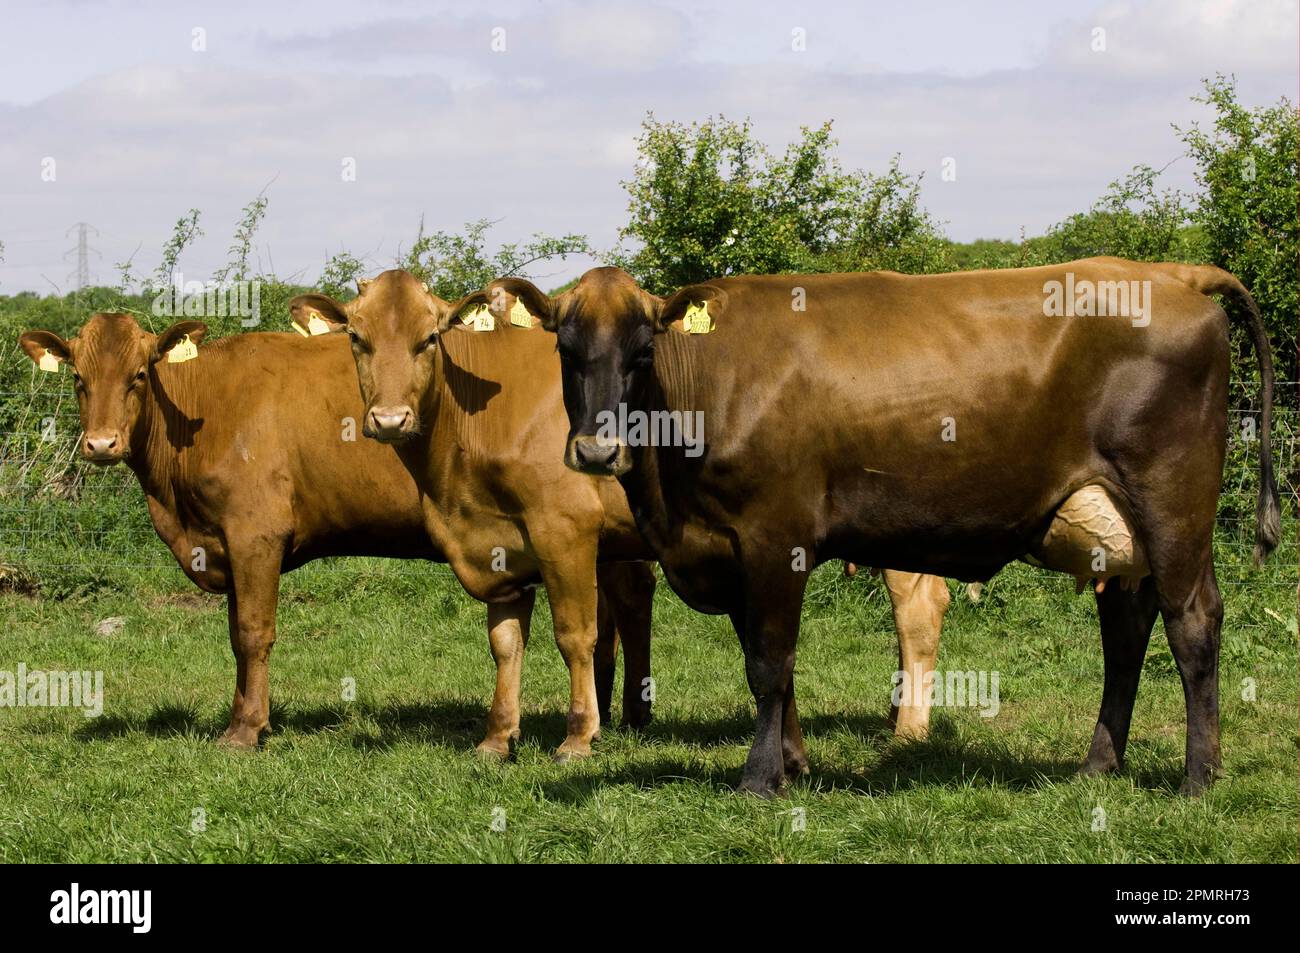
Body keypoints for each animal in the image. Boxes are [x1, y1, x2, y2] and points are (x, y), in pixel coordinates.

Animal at [17, 312, 654, 754]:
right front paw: (244, 717)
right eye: (78, 378)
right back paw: (628, 714)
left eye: (138, 375)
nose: (101, 444)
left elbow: (253, 634)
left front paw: (246, 730)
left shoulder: (254, 534)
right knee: (628, 604)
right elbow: (235, 639)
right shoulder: (226, 541)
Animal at [293, 269, 958, 761]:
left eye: (428, 339)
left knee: (918, 609)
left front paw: (579, 736)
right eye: (356, 339)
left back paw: (910, 727)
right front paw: (496, 737)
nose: (389, 419)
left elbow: (576, 635)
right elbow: (505, 643)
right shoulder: (497, 543)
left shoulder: (564, 531)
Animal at [490, 259, 1278, 797]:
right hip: (1114, 530)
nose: (597, 451)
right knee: (1127, 631)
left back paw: (1198, 777)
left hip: (1172, 502)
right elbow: (772, 668)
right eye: (564, 349)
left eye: (643, 351)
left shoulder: (774, 535)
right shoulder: (732, 551)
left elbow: (768, 662)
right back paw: (1097, 765)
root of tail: (1173, 272)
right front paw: (793, 763)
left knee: (1192, 623)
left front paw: (758, 778)